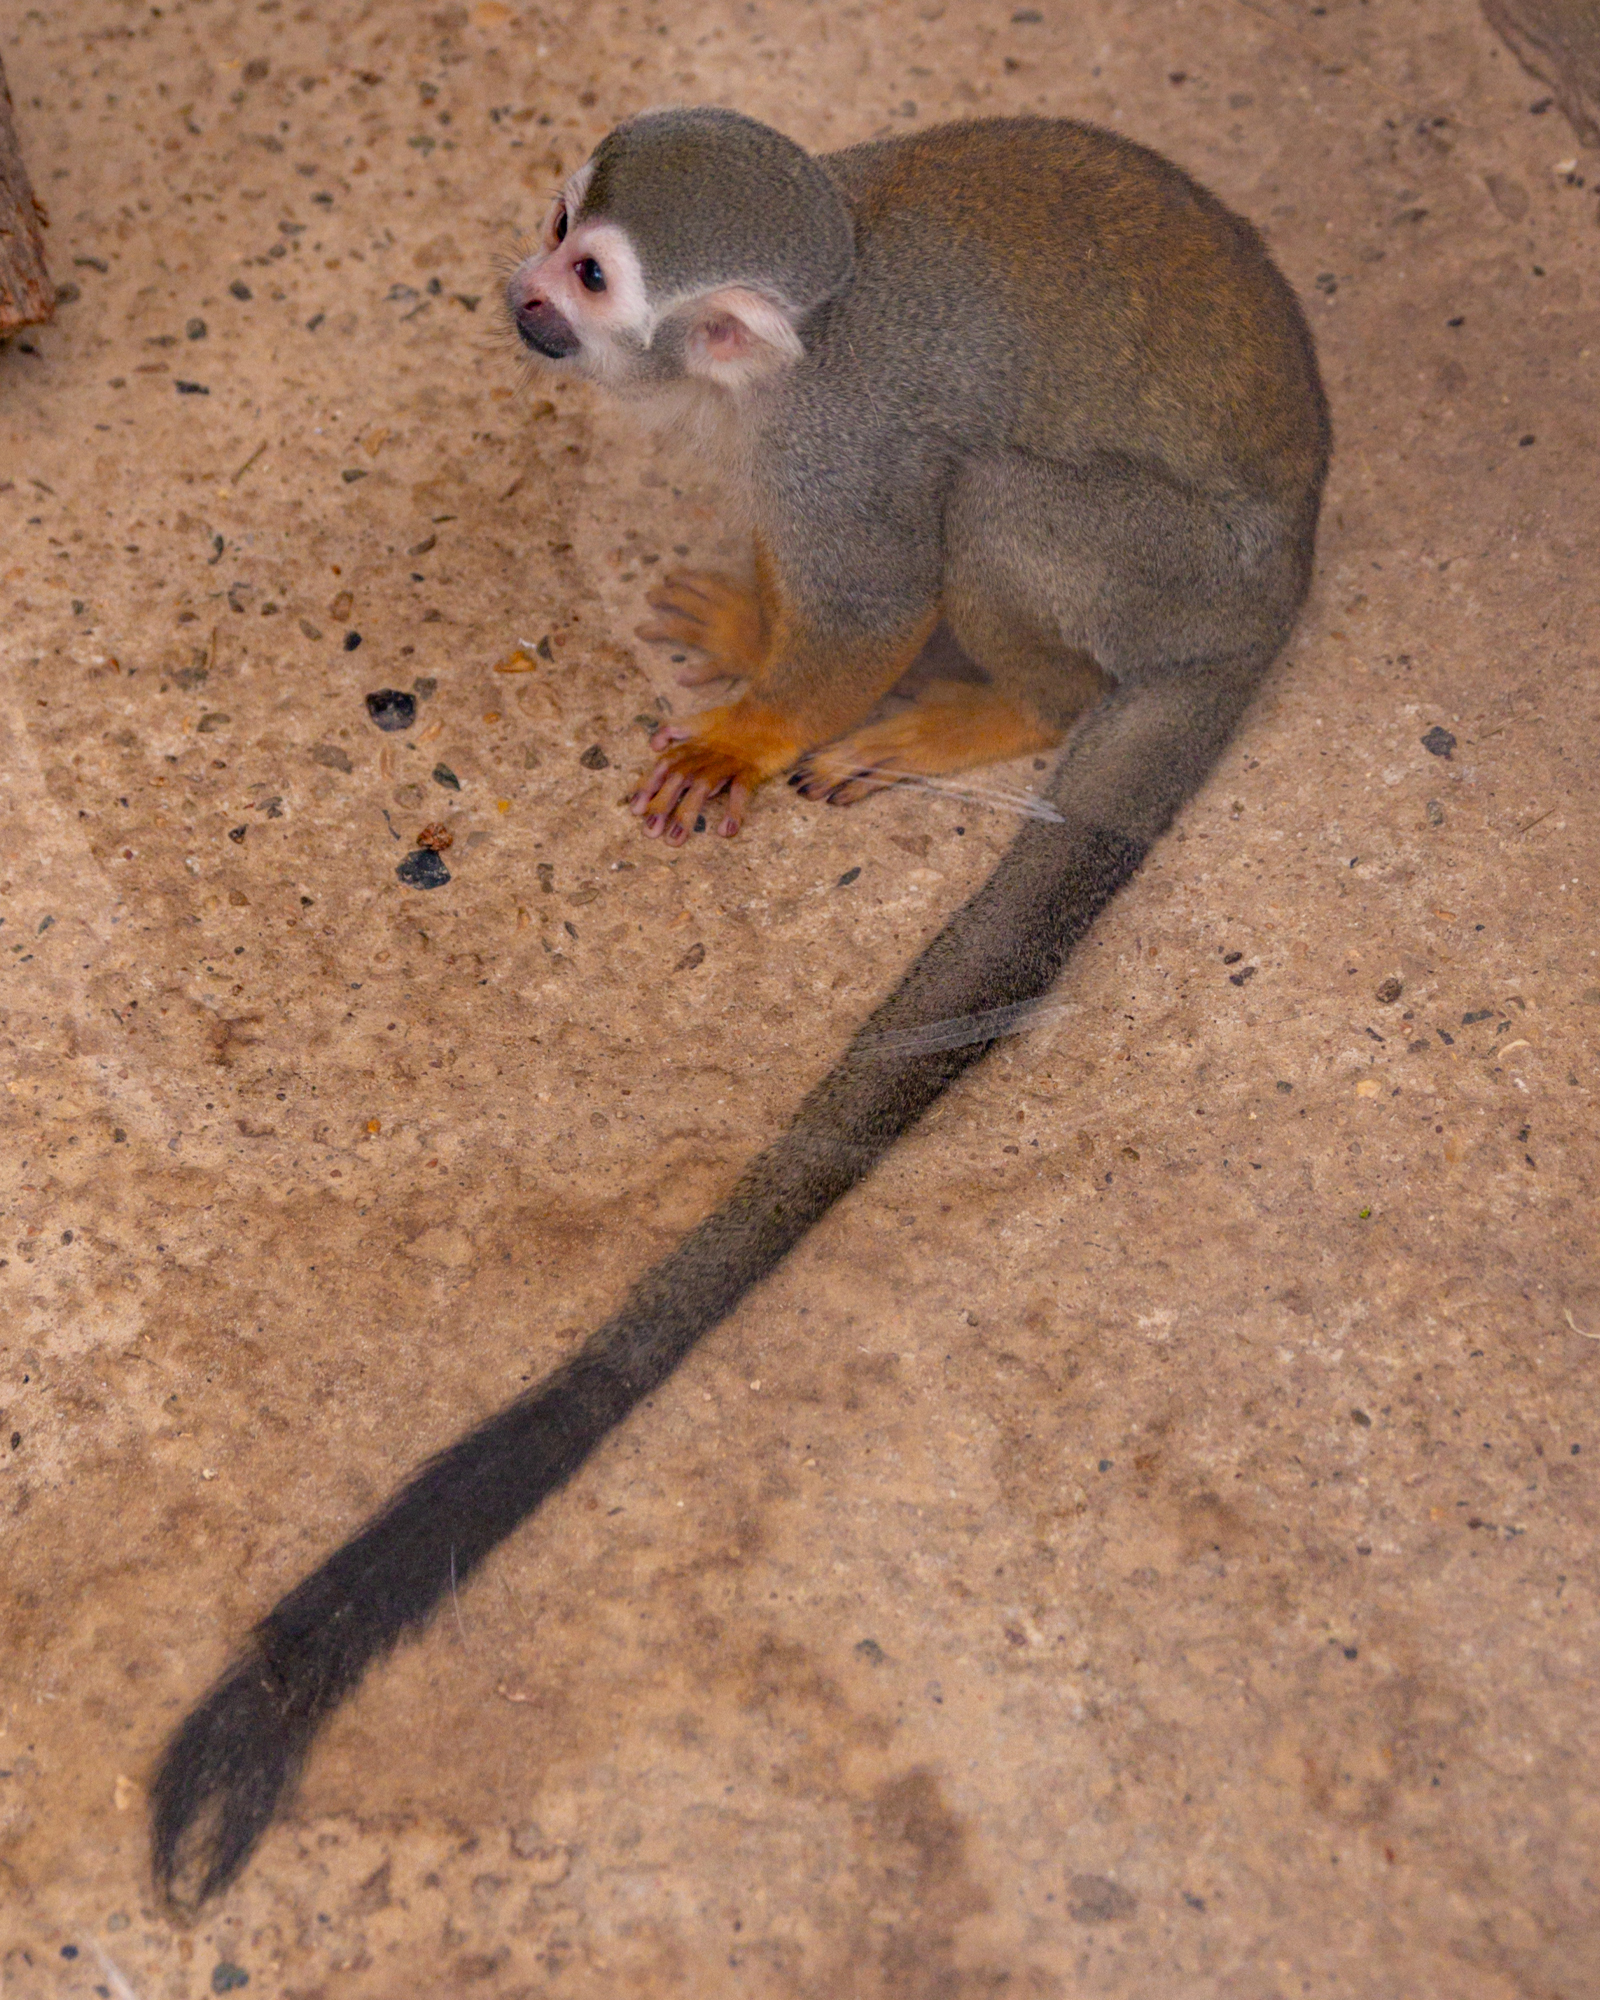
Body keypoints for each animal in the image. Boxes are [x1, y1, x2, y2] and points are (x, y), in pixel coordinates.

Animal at [150, 113, 1328, 1904]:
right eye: (559, 222)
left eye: (589, 277)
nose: (518, 292)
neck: (815, 312)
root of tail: (1281, 590)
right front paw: (748, 635)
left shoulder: (839, 437)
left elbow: (873, 586)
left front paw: (757, 731)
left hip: (1164, 580)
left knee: (985, 497)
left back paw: (1012, 709)